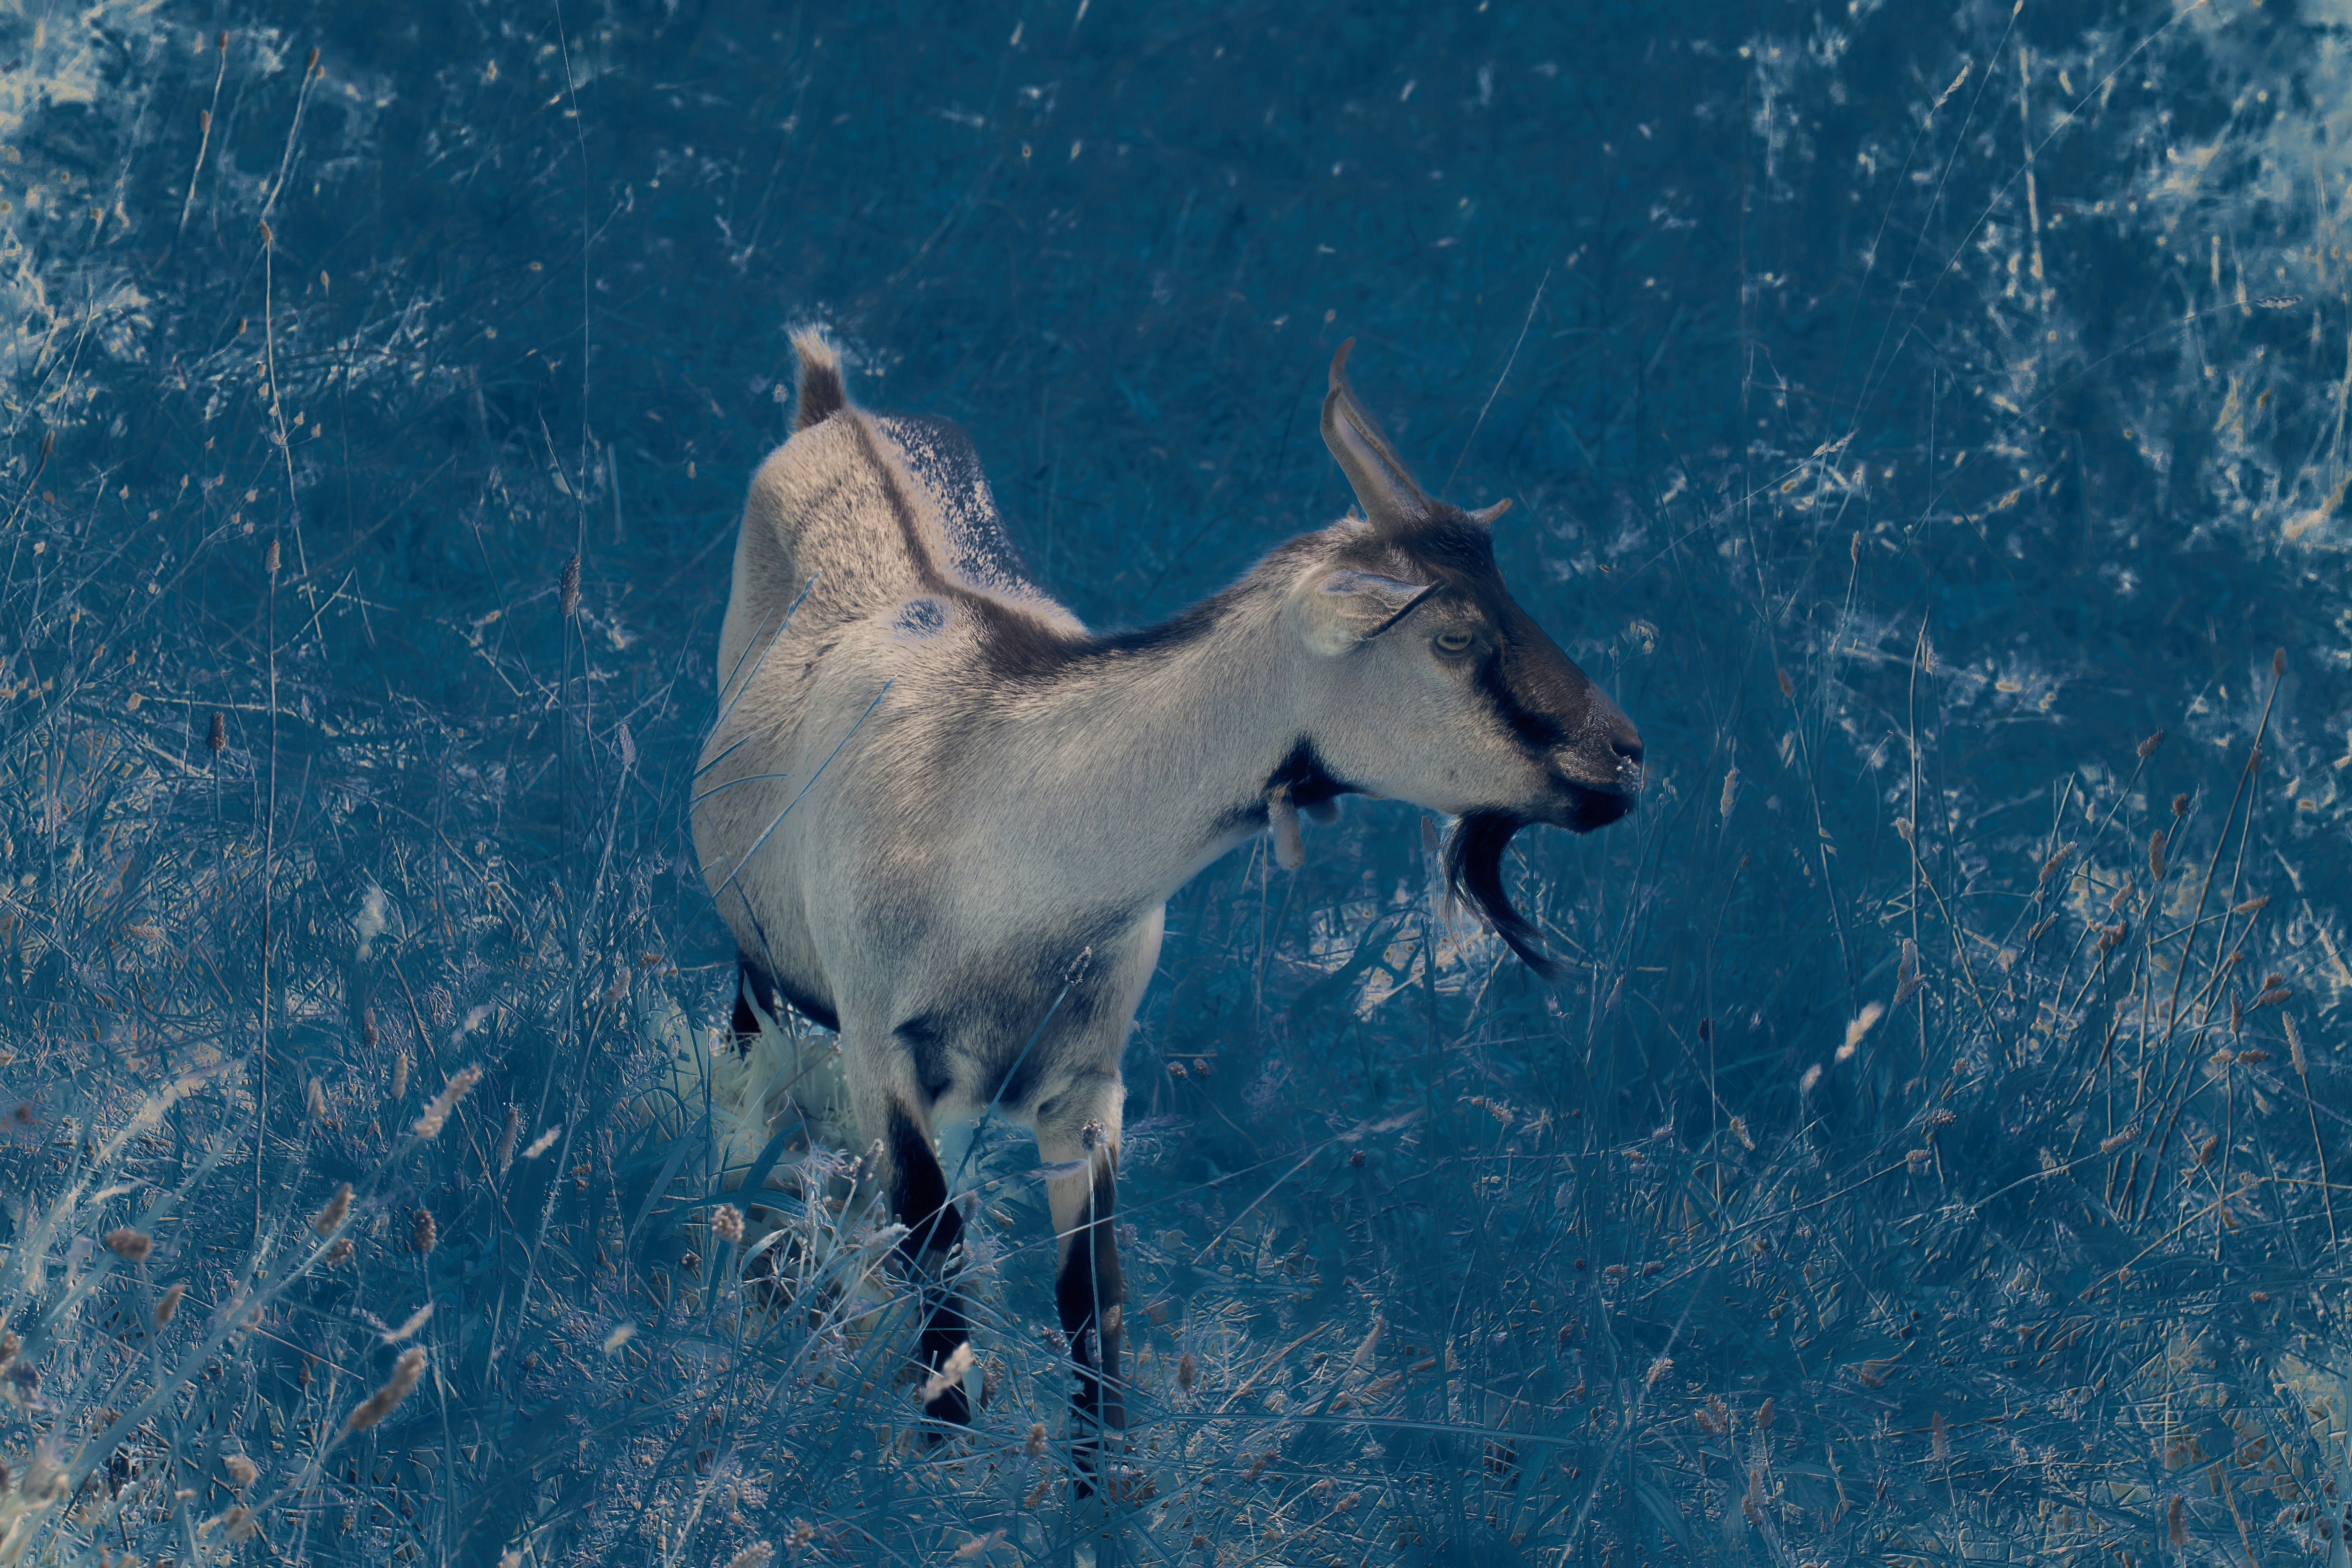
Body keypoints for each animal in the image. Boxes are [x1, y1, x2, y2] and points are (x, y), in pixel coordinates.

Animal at [691, 331, 1642, 1478]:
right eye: (1451, 639)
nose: (1624, 760)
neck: (999, 829)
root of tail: (830, 406)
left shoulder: (1086, 1083)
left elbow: (1090, 1297)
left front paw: (1099, 1489)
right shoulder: (886, 1054)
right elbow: (937, 1261)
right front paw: (942, 1472)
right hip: (761, 961)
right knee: (752, 1083)